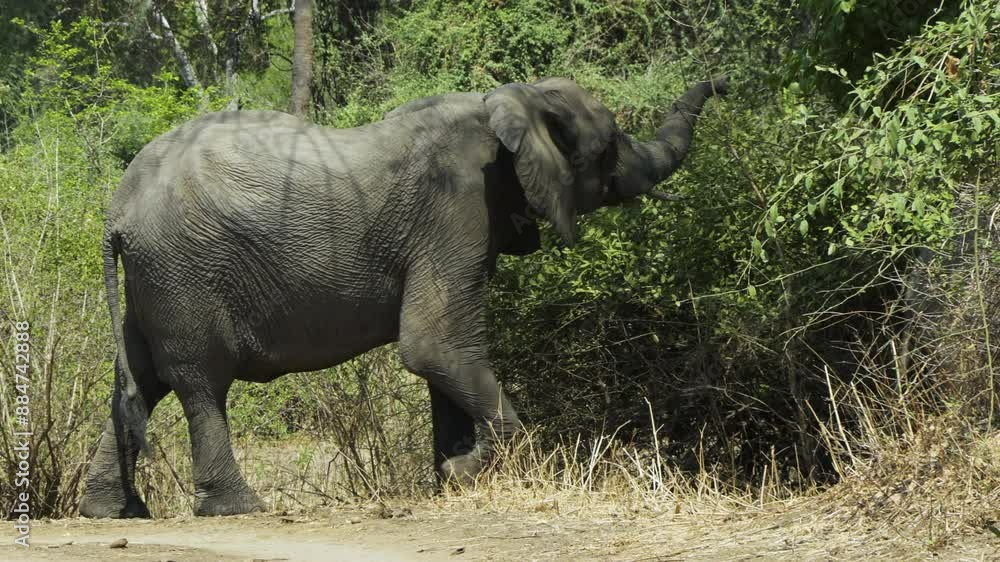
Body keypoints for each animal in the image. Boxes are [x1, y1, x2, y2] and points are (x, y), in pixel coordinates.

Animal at [79, 75, 728, 518]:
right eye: (611, 144)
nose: (721, 82)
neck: (509, 103)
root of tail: (117, 211)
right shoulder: (456, 208)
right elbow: (434, 346)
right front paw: (481, 471)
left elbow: (443, 359)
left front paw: (456, 475)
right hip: (185, 269)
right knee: (199, 382)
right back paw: (238, 508)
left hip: (153, 278)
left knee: (138, 379)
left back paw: (113, 512)